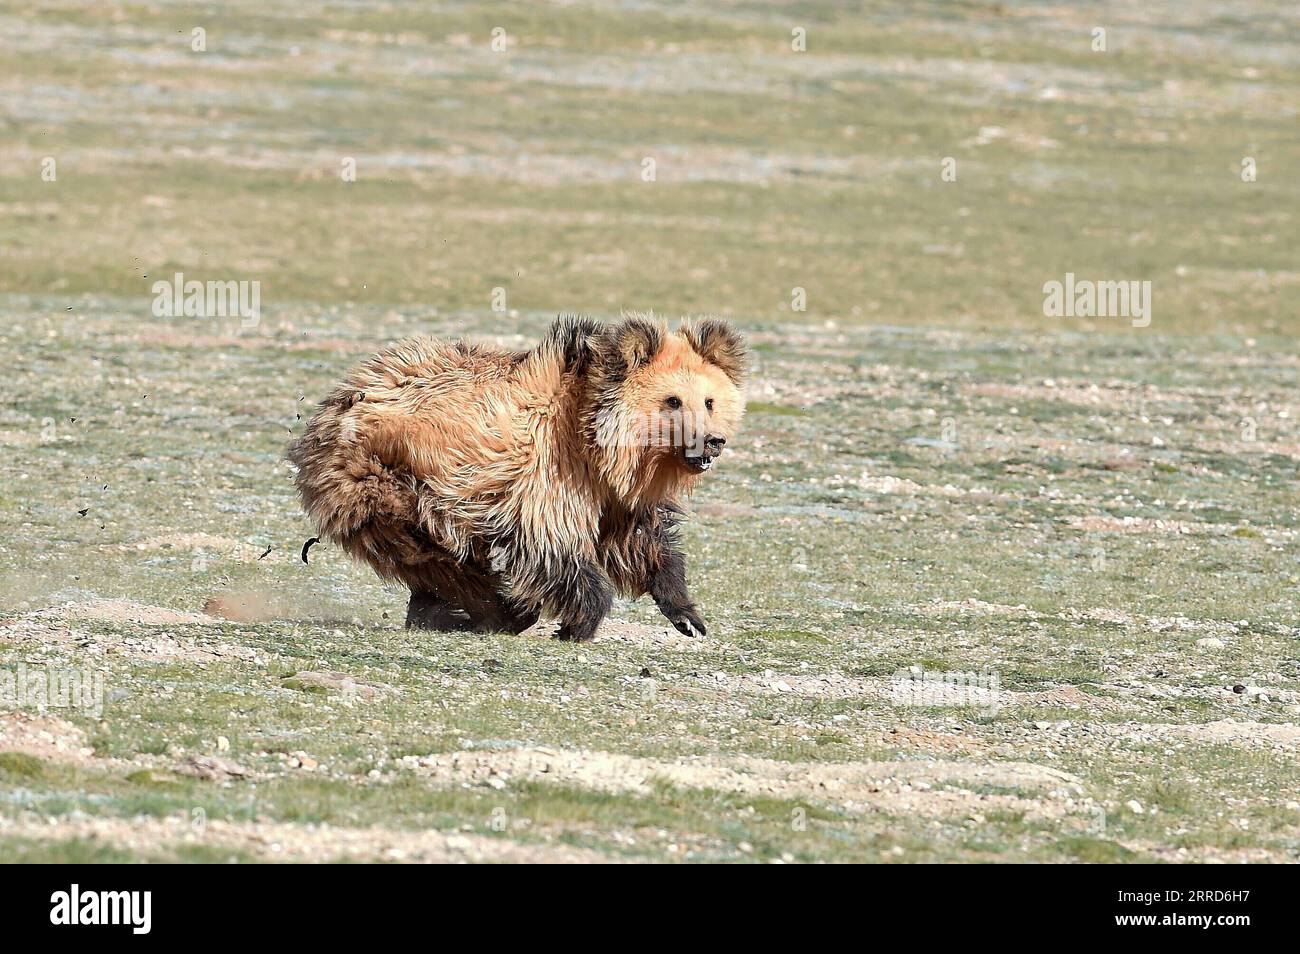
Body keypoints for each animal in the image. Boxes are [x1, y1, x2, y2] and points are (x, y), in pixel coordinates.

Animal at [287, 314, 747, 642]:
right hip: (388, 482)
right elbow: (553, 548)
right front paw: (576, 624)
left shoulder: (614, 496)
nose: (712, 441)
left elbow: (647, 543)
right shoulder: (545, 479)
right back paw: (495, 610)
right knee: (436, 555)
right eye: (673, 400)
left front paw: (687, 615)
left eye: (709, 400)